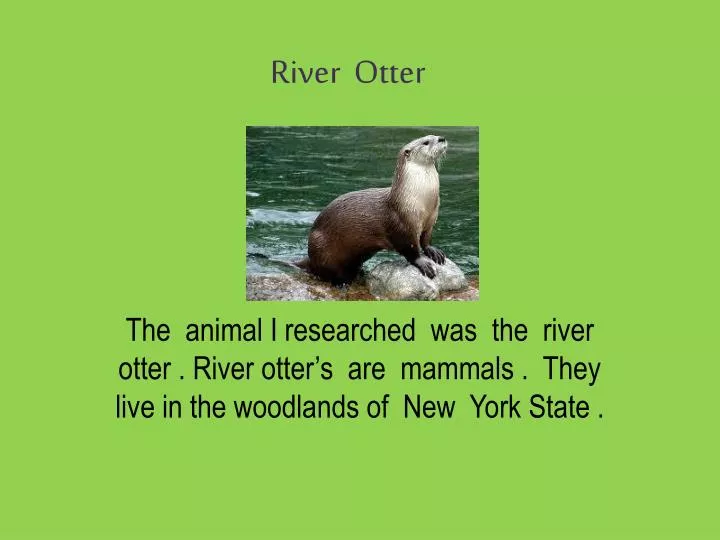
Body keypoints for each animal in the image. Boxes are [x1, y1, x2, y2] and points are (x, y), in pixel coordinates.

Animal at [299, 135, 448, 285]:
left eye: (434, 136)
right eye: (426, 142)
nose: (441, 138)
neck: (422, 201)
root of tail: (310, 257)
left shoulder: (430, 220)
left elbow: (426, 240)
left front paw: (433, 251)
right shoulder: (402, 225)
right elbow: (410, 249)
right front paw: (423, 262)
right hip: (321, 247)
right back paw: (343, 282)